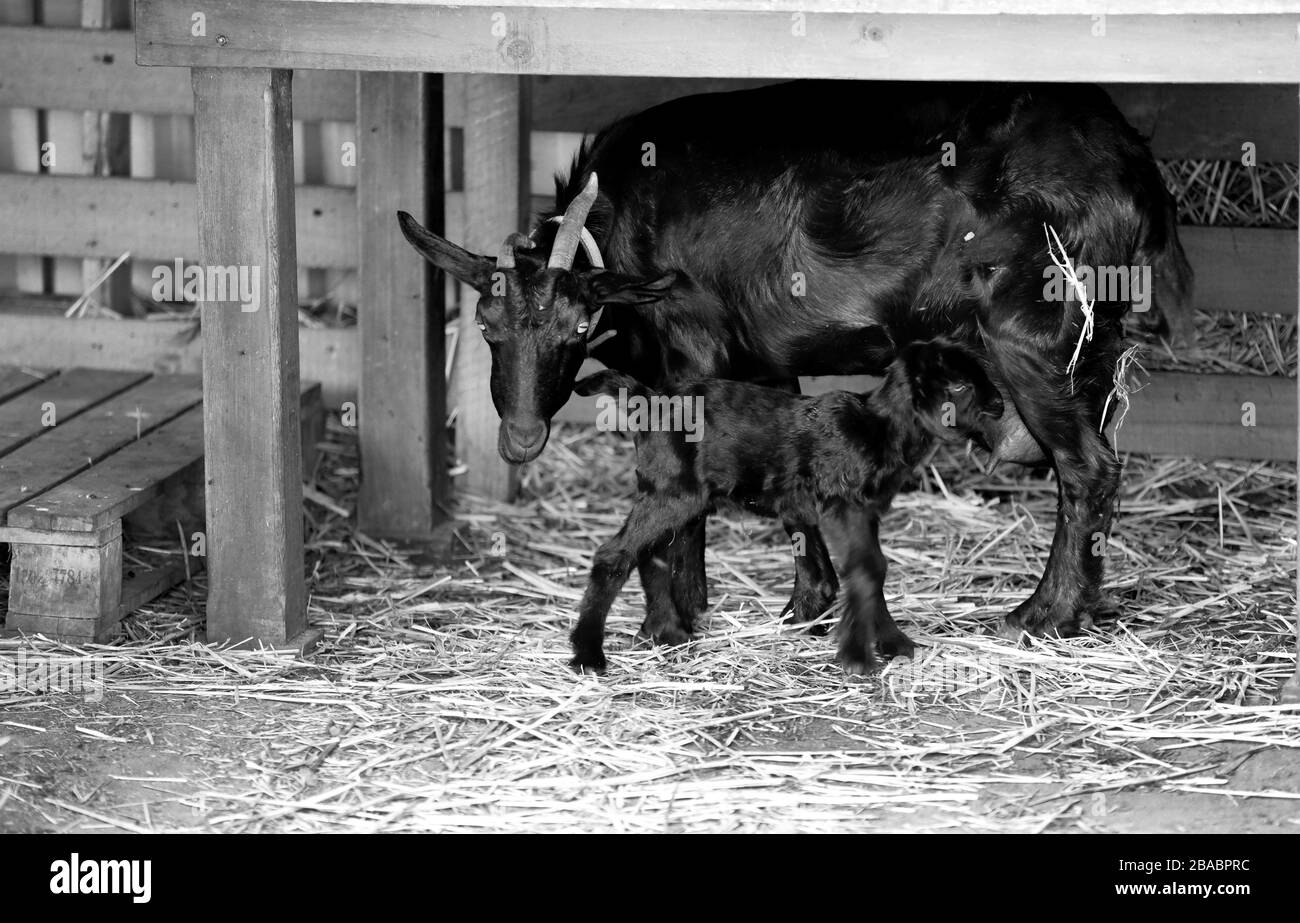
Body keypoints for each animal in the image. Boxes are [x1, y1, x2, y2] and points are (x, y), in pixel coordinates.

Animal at [568, 339, 1005, 674]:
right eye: (960, 386)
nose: (1000, 405)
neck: (877, 428)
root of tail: (649, 400)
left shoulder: (853, 511)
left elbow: (860, 570)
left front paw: (890, 642)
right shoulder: (842, 504)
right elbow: (868, 568)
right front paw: (864, 653)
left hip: (678, 498)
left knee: (652, 555)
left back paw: (668, 633)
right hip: (672, 491)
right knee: (615, 555)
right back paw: (589, 654)